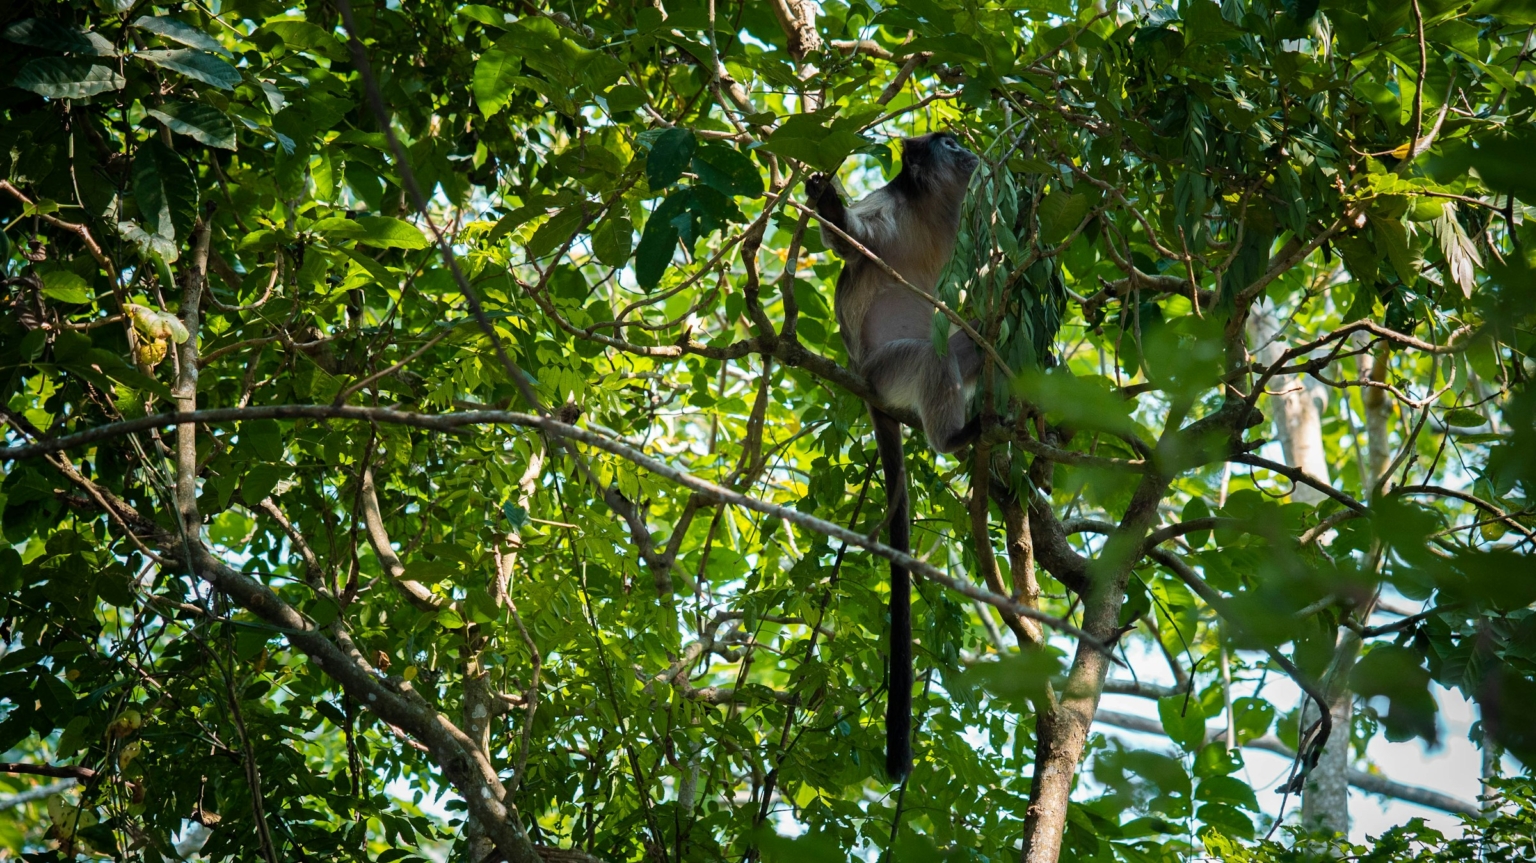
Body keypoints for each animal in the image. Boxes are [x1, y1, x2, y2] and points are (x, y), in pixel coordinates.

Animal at [805, 132, 981, 780]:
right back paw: (953, 438)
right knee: (933, 358)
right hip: (888, 370)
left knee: (965, 344)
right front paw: (827, 201)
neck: (930, 211)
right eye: (944, 142)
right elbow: (848, 243)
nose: (962, 148)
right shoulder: (888, 212)